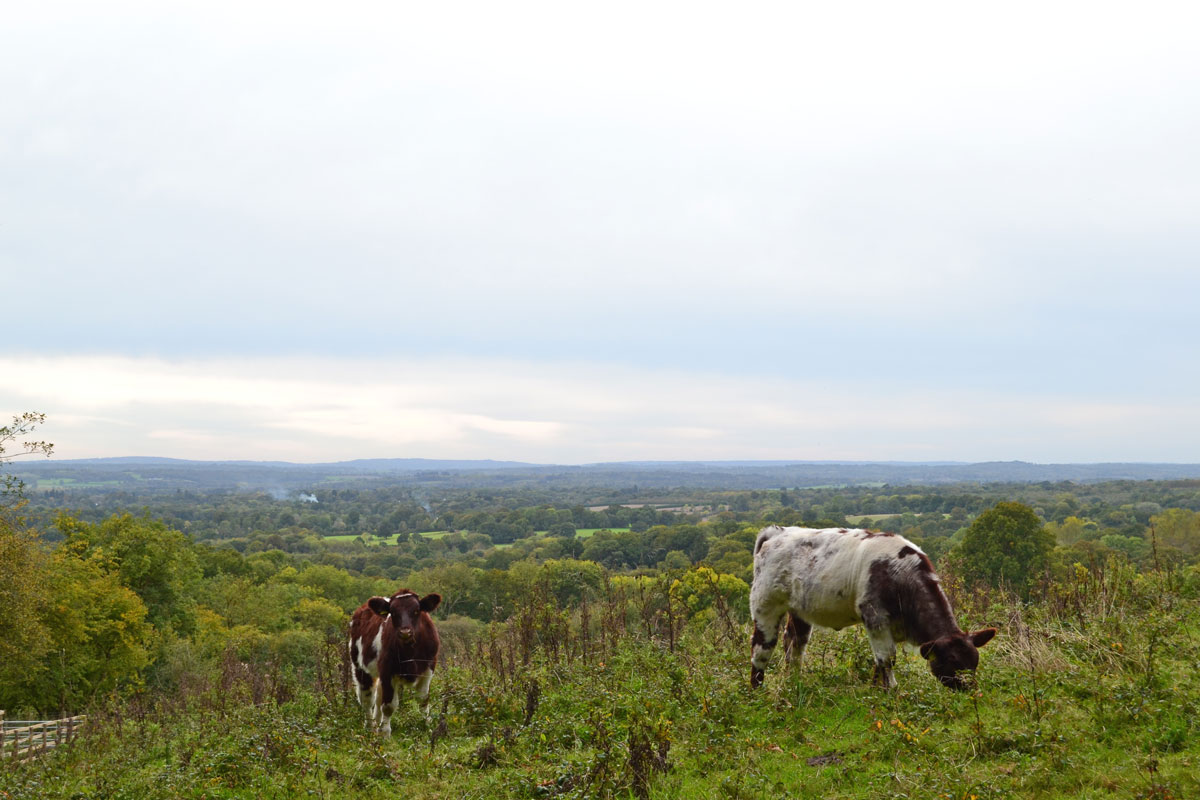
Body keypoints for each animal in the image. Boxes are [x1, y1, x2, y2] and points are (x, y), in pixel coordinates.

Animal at [348, 589, 442, 734]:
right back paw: (370, 729)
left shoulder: (429, 667)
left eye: (416, 610)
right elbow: (388, 706)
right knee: (367, 700)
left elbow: (423, 700)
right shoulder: (387, 671)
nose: (405, 632)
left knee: (378, 698)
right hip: (360, 667)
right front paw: (385, 733)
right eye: (392, 612)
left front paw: (427, 726)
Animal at [749, 526, 996, 690]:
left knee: (794, 644)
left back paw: (795, 682)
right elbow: (887, 658)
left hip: (800, 611)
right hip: (765, 605)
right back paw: (756, 691)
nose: (971, 690)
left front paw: (876, 689)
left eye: (974, 662)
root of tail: (778, 532)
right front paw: (891, 691)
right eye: (953, 662)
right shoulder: (875, 617)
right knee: (761, 648)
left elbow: (880, 661)